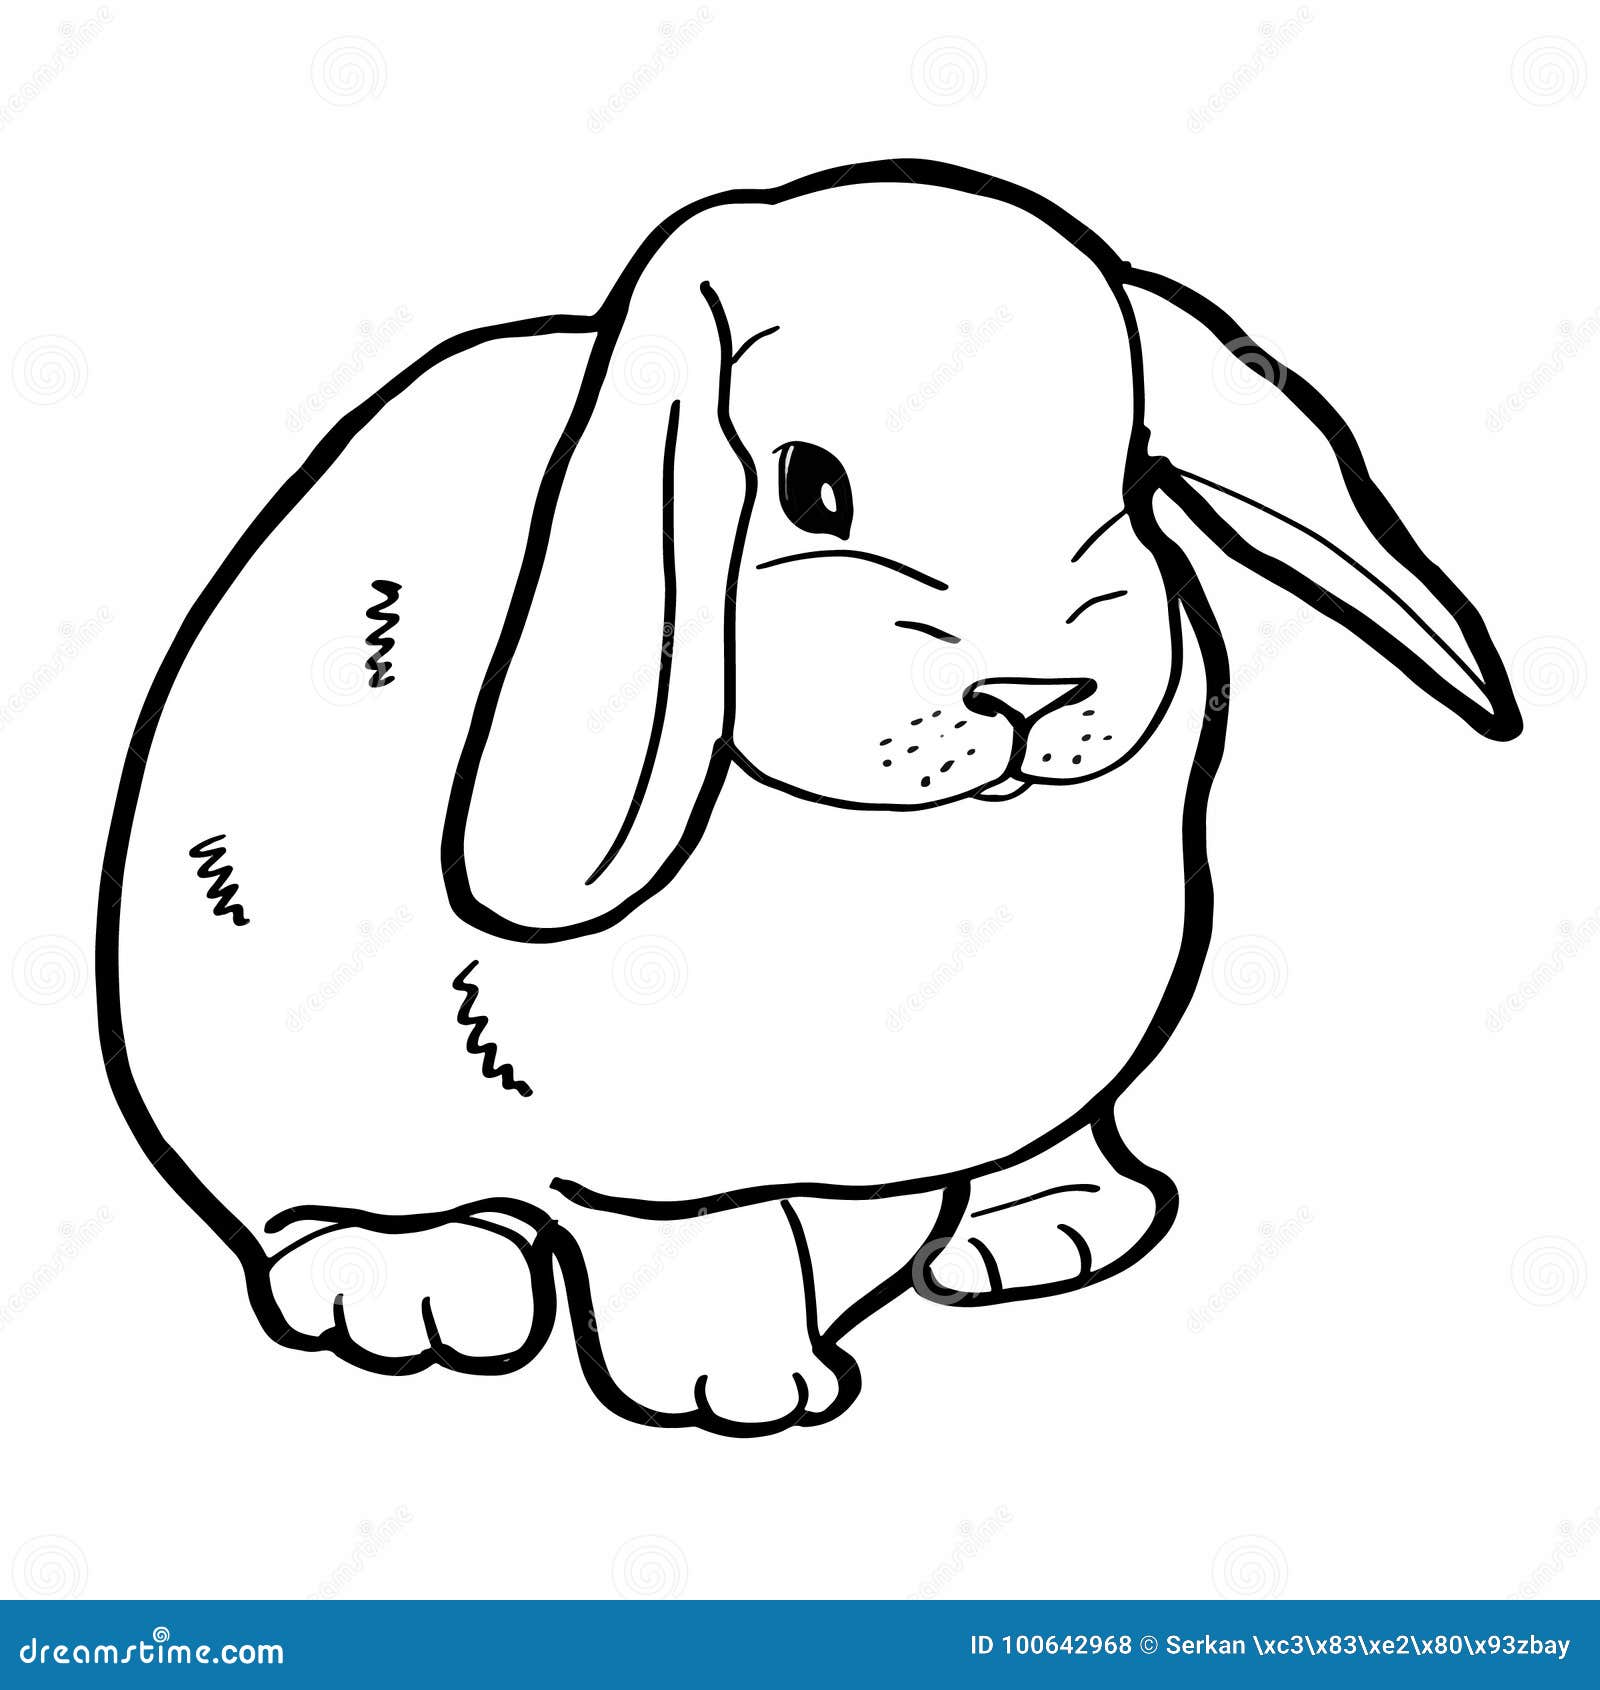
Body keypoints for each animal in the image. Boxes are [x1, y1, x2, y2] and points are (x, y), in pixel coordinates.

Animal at [98, 159, 1520, 1434]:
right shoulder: (646, 1143)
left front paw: (1056, 1233)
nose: (1032, 694)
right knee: (304, 1202)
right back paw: (417, 1288)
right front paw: (737, 1388)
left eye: (1124, 484)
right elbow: (700, 1235)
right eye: (806, 486)